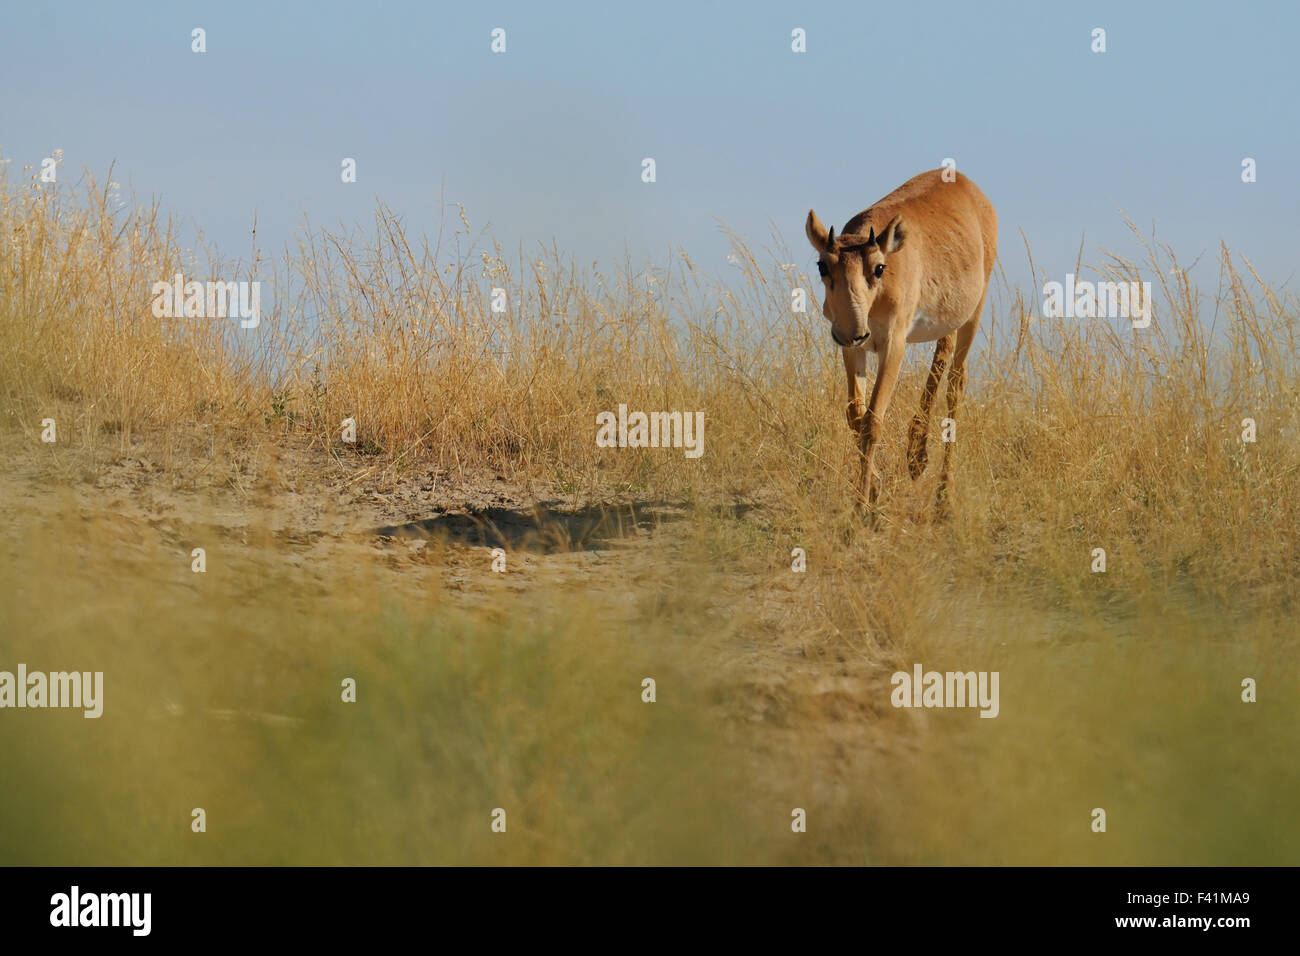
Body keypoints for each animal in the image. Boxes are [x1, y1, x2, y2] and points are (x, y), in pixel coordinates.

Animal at [805, 169, 997, 514]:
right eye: (822, 265)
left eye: (879, 267)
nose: (855, 331)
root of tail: (967, 185)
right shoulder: (852, 350)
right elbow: (855, 414)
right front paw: (875, 490)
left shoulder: (893, 345)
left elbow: (873, 421)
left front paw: (862, 510)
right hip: (946, 321)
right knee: (942, 356)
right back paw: (916, 457)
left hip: (973, 314)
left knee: (956, 383)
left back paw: (943, 499)